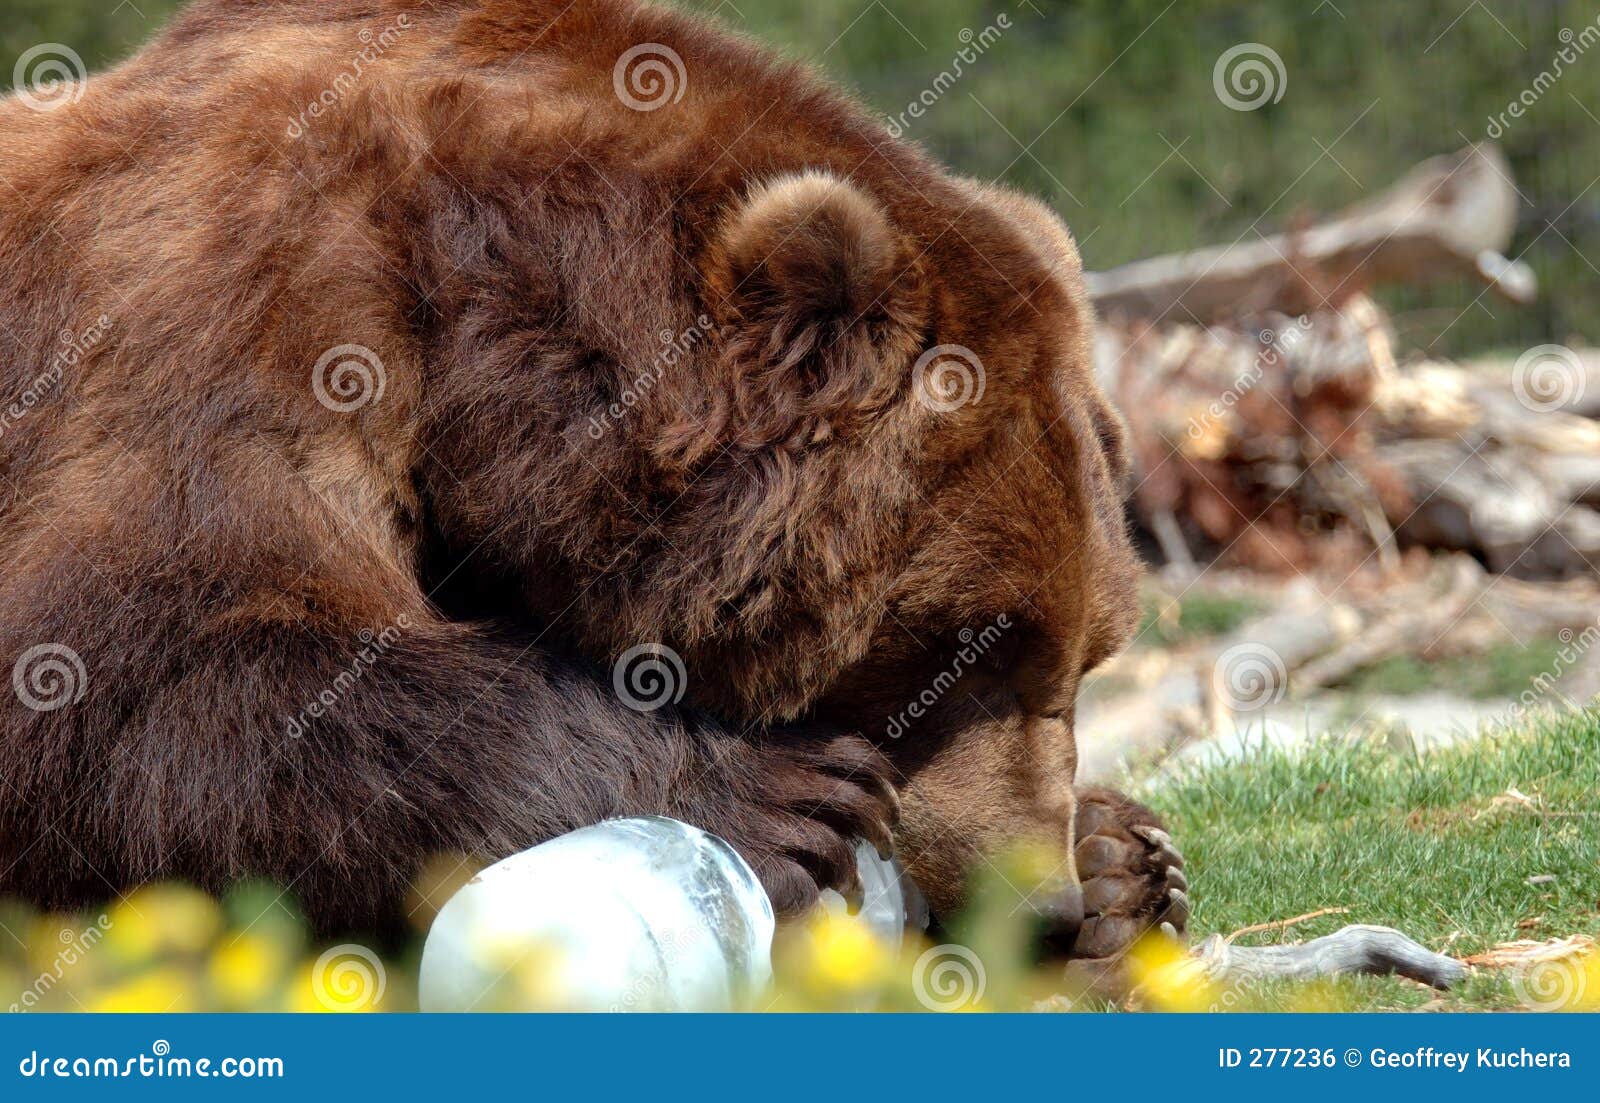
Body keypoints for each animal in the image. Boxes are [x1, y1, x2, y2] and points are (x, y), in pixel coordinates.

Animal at [0, 0, 1184, 959]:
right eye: (966, 645)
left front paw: (1126, 855)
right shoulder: (249, 309)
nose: (1044, 903)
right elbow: (135, 664)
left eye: (1088, 654)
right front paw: (784, 798)